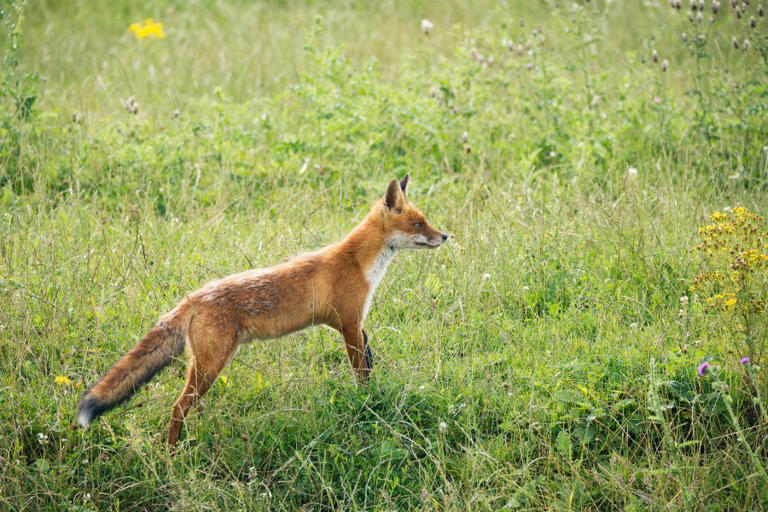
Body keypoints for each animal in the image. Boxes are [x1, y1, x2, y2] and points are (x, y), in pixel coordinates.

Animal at [77, 175, 447, 445]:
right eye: (417, 224)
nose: (444, 236)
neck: (359, 262)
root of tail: (191, 298)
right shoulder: (349, 323)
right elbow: (362, 373)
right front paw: (367, 403)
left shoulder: (356, 325)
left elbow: (370, 363)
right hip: (211, 364)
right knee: (177, 407)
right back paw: (171, 454)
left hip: (204, 368)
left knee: (190, 405)